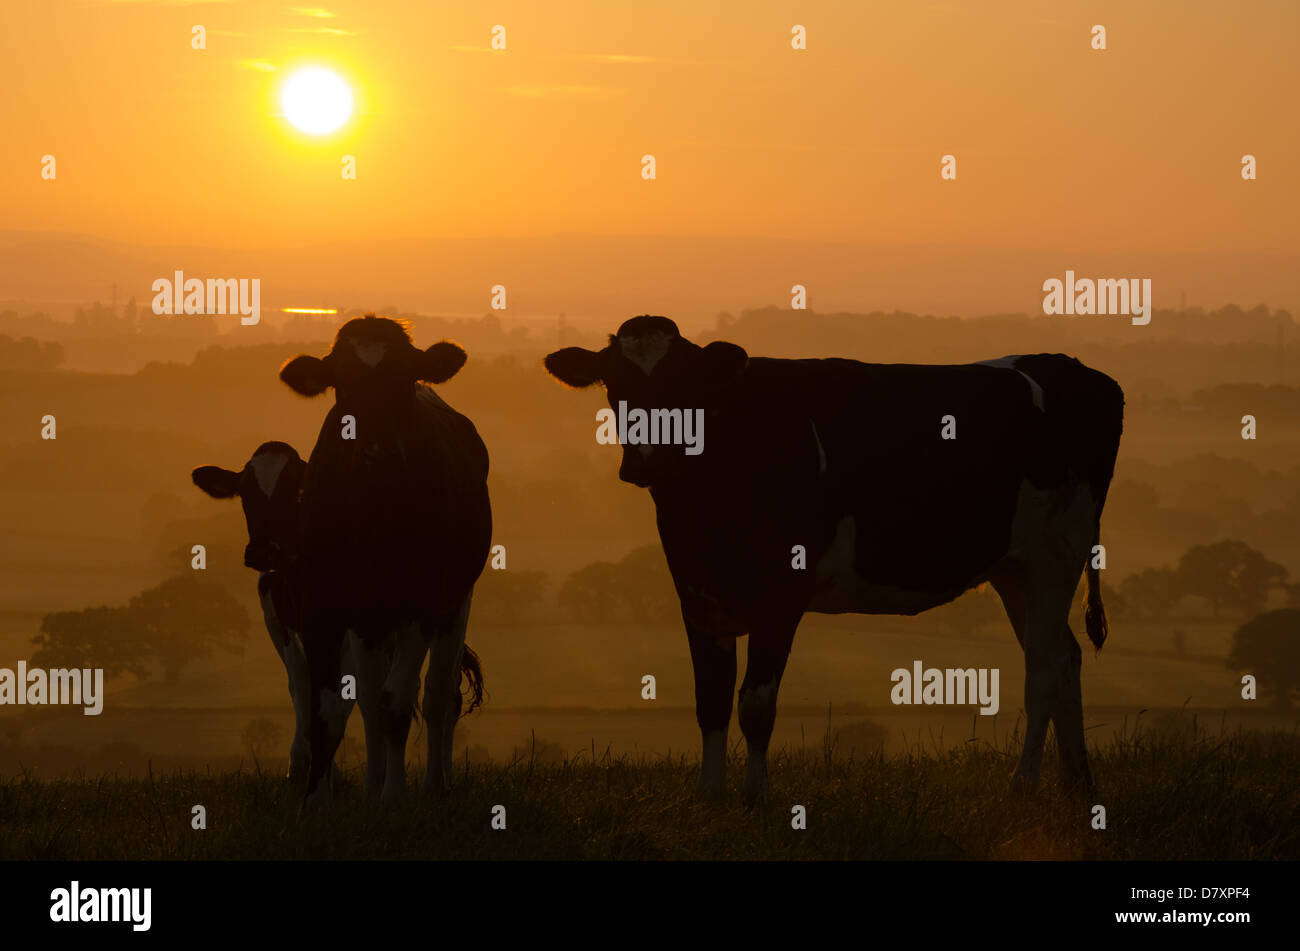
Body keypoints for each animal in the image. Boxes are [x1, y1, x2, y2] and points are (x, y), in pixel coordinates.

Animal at [280, 315, 491, 807]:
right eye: (343, 385)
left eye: (404, 381)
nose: (376, 450)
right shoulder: (323, 604)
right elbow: (330, 708)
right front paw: (315, 801)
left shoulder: (423, 604)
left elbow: (398, 702)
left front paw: (395, 797)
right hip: (370, 622)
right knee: (371, 701)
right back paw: (372, 786)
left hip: (456, 600)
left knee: (437, 695)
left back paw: (433, 785)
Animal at [545, 315, 1124, 805]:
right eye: (615, 384)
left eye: (683, 386)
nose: (645, 462)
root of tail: (1069, 366)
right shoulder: (698, 593)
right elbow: (709, 700)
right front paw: (709, 795)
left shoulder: (781, 594)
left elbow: (755, 703)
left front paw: (755, 795)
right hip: (1013, 571)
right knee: (1065, 656)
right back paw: (1076, 781)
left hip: (1055, 556)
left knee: (1044, 666)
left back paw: (1023, 782)